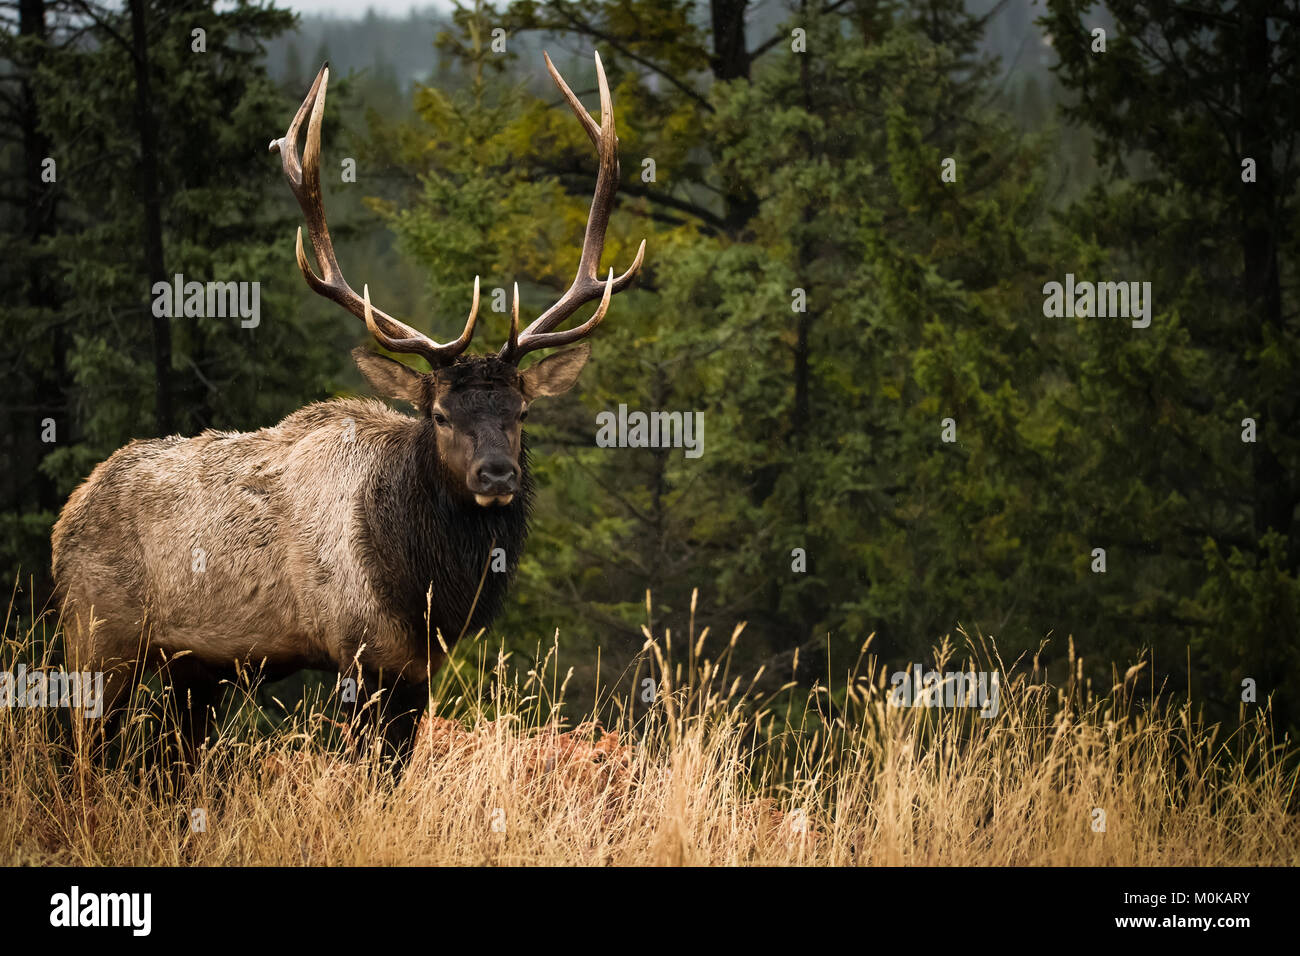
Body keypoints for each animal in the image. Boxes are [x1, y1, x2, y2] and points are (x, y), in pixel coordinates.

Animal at [50, 52, 645, 762]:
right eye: (439, 414)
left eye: (521, 413)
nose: (496, 474)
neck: (422, 587)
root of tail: (64, 519)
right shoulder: (357, 652)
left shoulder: (417, 671)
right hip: (95, 636)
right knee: (79, 751)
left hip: (194, 668)